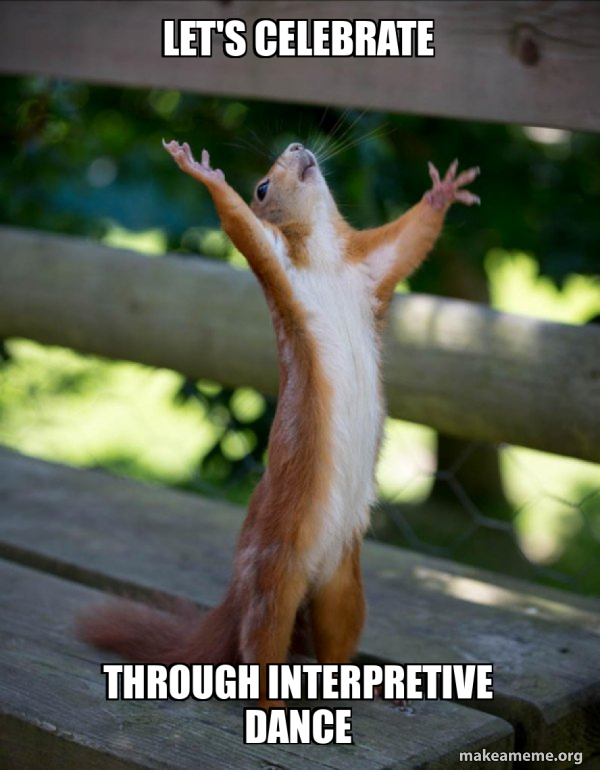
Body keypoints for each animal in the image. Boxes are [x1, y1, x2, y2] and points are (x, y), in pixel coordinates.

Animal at [77, 138, 479, 709]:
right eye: (262, 187)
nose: (296, 146)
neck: (327, 260)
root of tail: (239, 590)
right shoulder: (277, 265)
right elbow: (240, 226)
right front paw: (203, 173)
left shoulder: (372, 267)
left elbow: (410, 240)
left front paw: (443, 191)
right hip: (274, 578)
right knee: (261, 649)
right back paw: (275, 707)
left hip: (344, 587)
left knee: (336, 644)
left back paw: (364, 686)